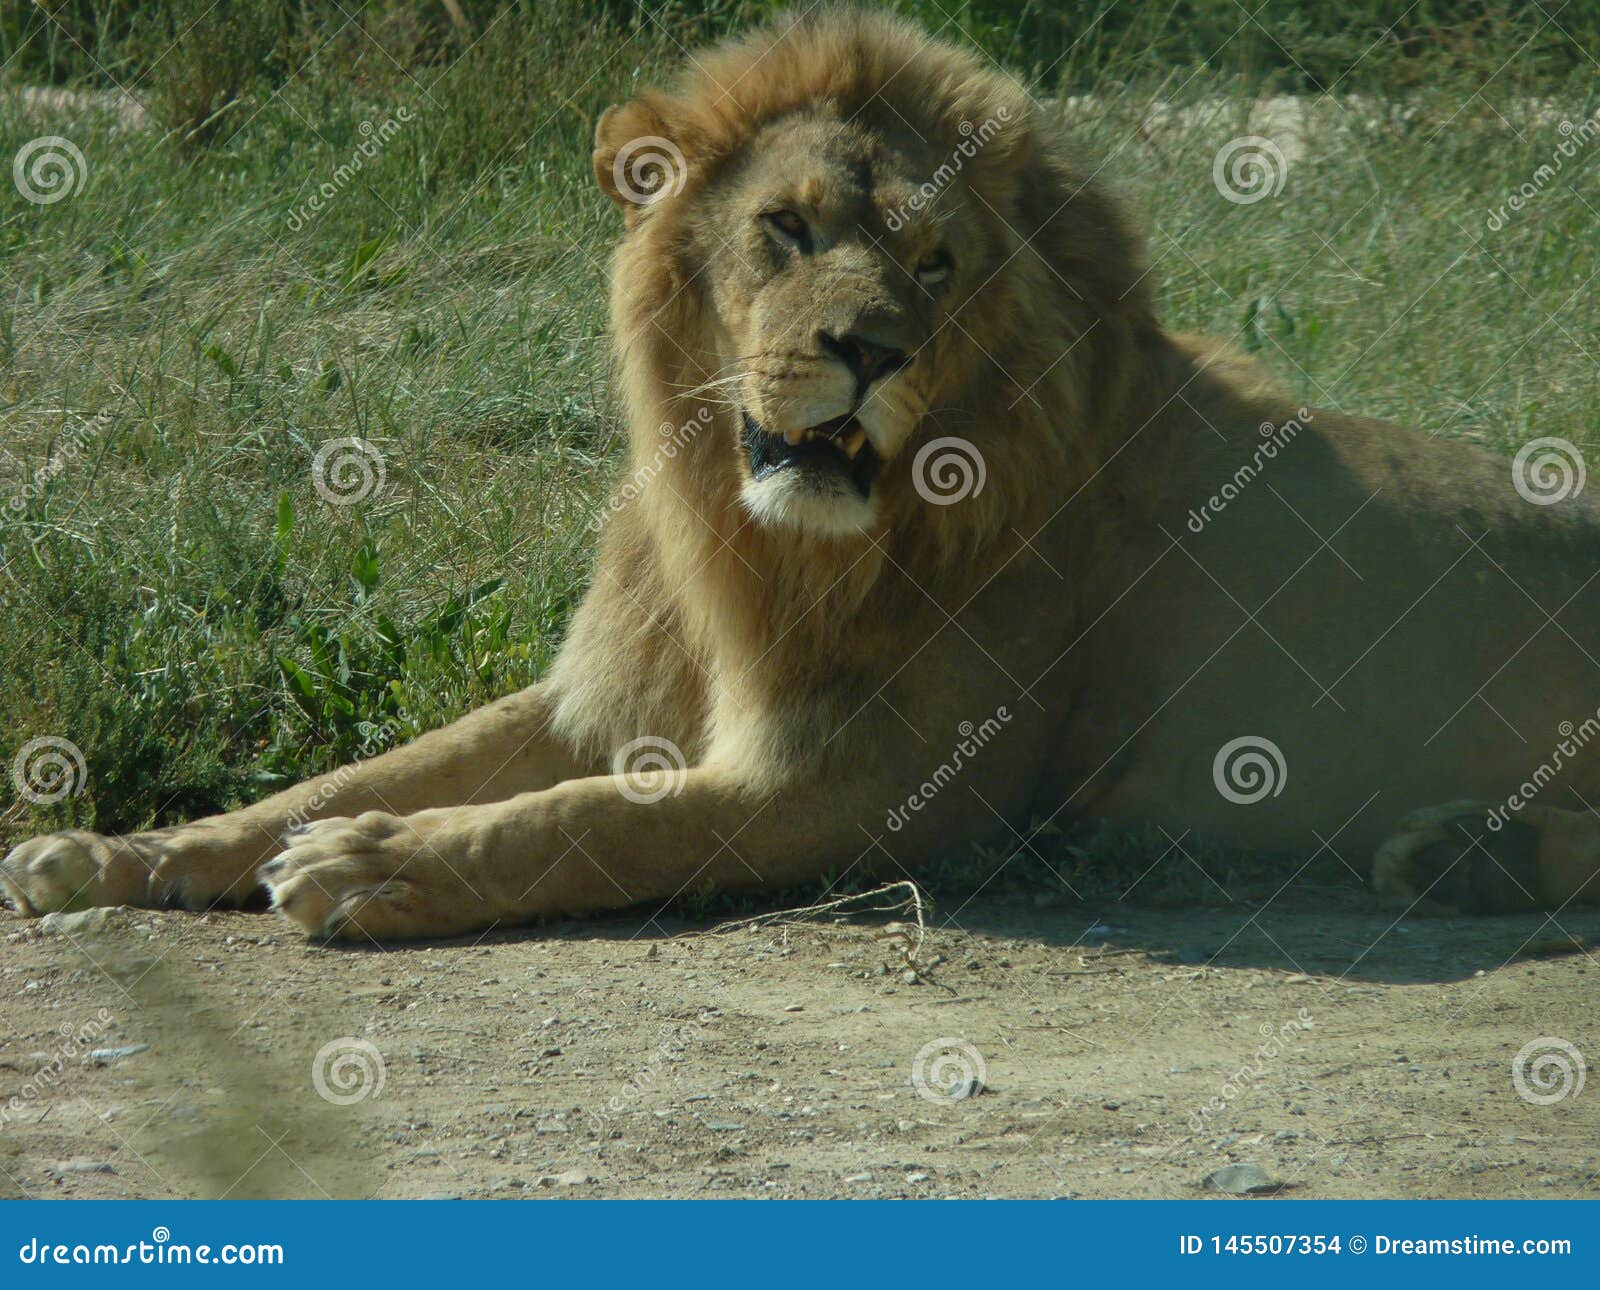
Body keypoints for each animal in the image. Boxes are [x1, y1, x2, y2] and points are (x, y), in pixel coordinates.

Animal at [4, 7, 1599, 939]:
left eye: (937, 264)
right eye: (786, 226)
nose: (868, 349)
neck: (747, 533)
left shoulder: (878, 783)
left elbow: (591, 823)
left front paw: (374, 866)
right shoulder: (613, 693)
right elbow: (352, 771)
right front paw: (107, 850)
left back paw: (1468, 861)